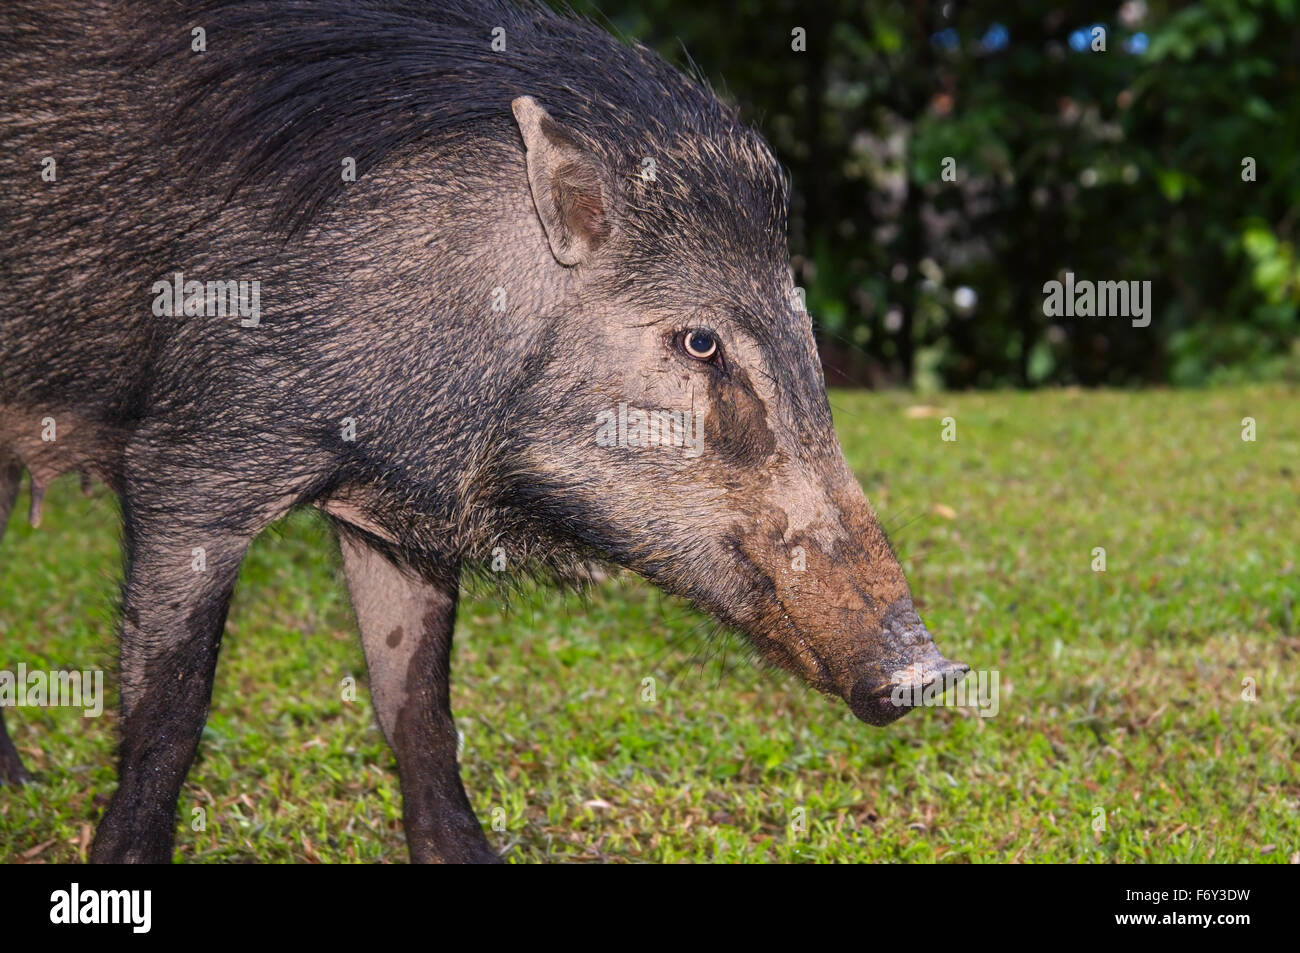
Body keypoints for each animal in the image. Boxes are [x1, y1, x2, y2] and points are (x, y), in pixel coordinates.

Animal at [0, 0, 967, 862]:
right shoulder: (192, 457)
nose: (935, 671)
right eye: (699, 340)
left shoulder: (392, 520)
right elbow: (169, 710)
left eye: (805, 329)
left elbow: (418, 708)